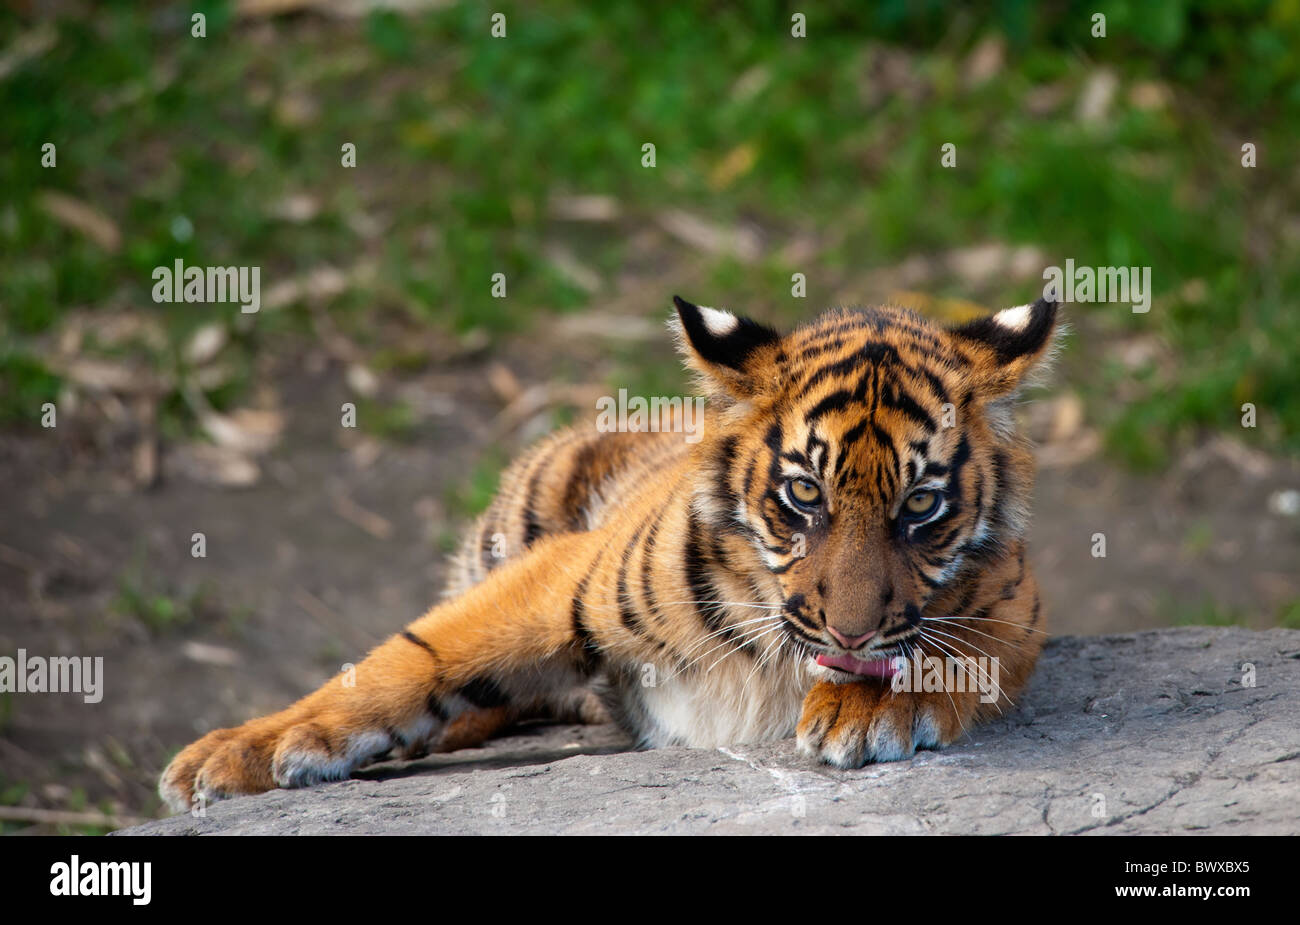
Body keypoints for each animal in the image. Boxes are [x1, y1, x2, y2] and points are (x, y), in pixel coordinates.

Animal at [159, 294, 1058, 813]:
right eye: (805, 494)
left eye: (920, 506)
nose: (851, 633)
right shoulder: (567, 579)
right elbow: (405, 662)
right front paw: (242, 752)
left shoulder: (1016, 606)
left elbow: (950, 648)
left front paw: (867, 705)